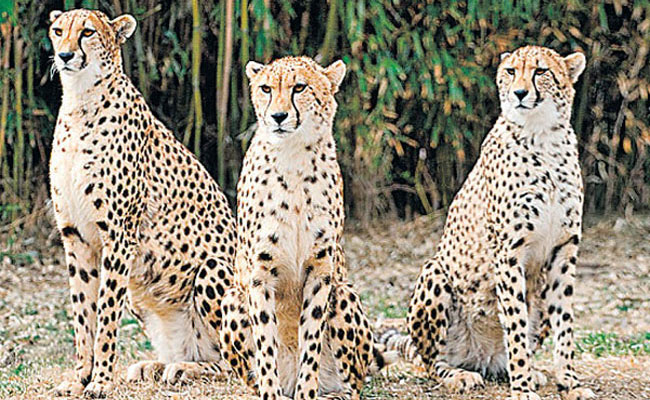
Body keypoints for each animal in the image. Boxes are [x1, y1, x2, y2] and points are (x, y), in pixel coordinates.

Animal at [48, 9, 236, 397]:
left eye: (87, 32)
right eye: (57, 31)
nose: (65, 55)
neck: (79, 102)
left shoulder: (119, 236)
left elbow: (105, 315)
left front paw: (100, 380)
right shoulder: (75, 236)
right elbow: (82, 314)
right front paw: (80, 376)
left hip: (214, 269)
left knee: (241, 364)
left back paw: (184, 370)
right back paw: (157, 365)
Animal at [218, 56, 392, 400]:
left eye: (300, 87)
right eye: (266, 89)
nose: (278, 116)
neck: (293, 158)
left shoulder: (321, 268)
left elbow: (310, 339)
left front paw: (307, 393)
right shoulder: (259, 273)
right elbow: (266, 343)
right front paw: (270, 393)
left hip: (344, 292)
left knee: (354, 384)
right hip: (232, 299)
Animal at [382, 45, 596, 400]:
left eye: (540, 71)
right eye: (510, 71)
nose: (520, 93)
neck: (543, 137)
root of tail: (482, 358)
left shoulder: (563, 250)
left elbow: (564, 323)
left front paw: (569, 383)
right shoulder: (509, 251)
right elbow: (516, 325)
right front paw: (522, 389)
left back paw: (530, 372)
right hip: (434, 272)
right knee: (431, 361)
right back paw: (459, 375)